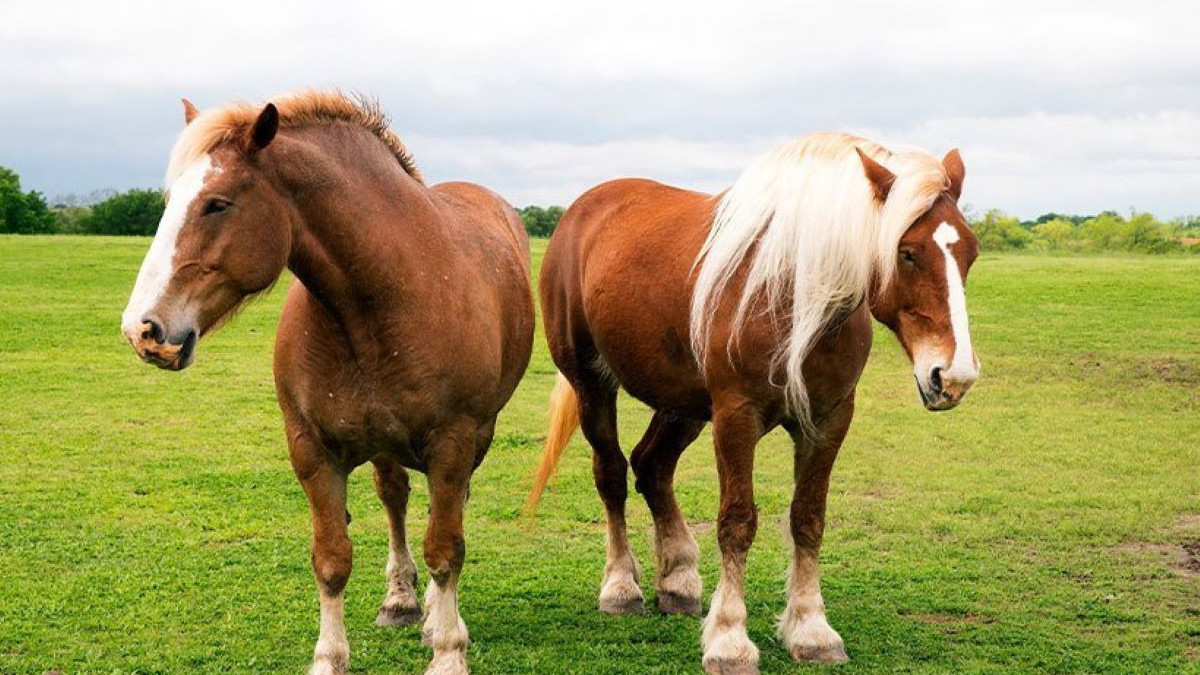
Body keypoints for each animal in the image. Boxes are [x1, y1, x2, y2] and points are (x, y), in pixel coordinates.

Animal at [121, 91, 534, 675]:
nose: (143, 329)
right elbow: (332, 559)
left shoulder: (453, 443)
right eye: (169, 199)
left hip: (476, 437)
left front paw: (449, 650)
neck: (380, 300)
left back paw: (435, 616)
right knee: (395, 498)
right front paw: (330, 657)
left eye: (218, 204)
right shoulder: (311, 450)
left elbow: (445, 548)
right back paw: (401, 600)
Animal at [527, 132, 980, 673]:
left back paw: (678, 580)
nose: (953, 376)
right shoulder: (736, 417)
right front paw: (729, 639)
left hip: (683, 403)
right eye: (908, 253)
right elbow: (737, 523)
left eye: (971, 252)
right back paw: (621, 587)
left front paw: (811, 629)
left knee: (652, 466)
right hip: (592, 383)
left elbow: (808, 519)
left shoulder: (828, 421)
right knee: (612, 474)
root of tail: (583, 210)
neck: (796, 295)